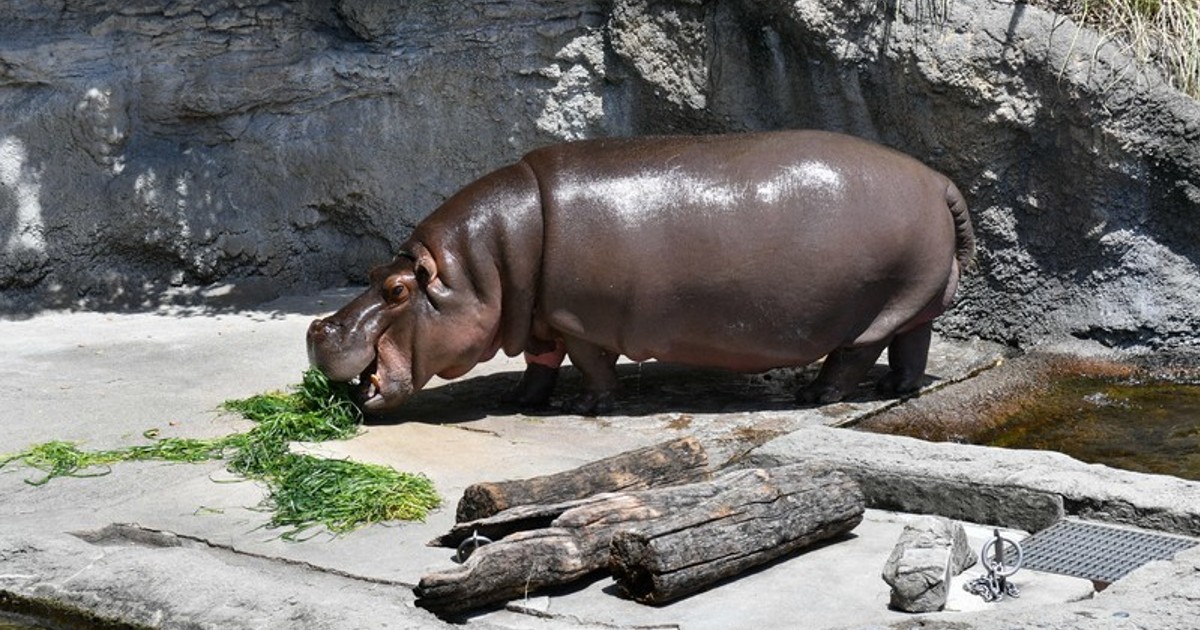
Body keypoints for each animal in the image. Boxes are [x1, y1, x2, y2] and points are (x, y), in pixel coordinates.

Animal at [307, 130, 975, 415]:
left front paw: (590, 407)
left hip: (879, 305)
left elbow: (589, 362)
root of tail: (939, 181)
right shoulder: (542, 317)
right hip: (915, 300)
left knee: (855, 353)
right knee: (912, 343)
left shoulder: (575, 318)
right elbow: (539, 361)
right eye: (373, 270)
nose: (317, 328)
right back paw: (896, 391)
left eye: (396, 290)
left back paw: (814, 394)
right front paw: (519, 399)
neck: (487, 264)